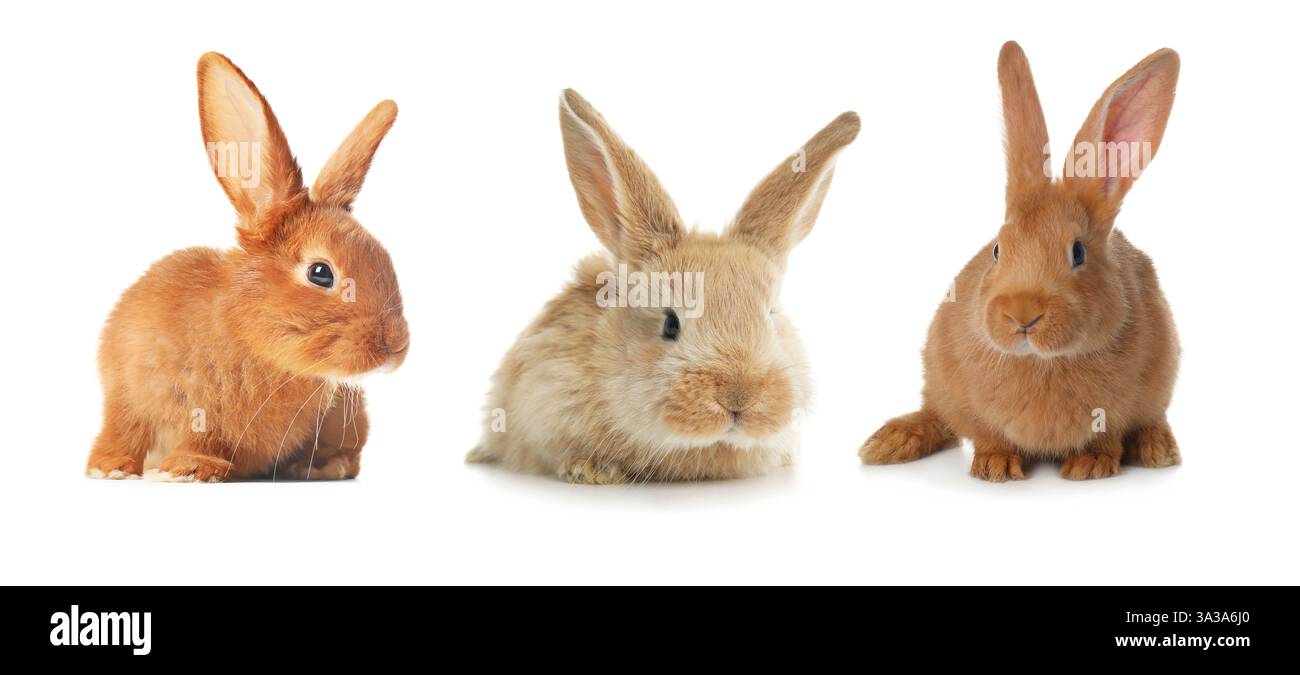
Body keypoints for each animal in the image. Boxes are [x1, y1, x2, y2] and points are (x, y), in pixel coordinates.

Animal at [85, 53, 408, 482]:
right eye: (320, 273)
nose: (396, 346)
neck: (244, 334)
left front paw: (188, 467)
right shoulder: (129, 390)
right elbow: (127, 428)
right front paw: (112, 468)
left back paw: (322, 467)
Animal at [860, 41, 1181, 481]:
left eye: (1078, 251)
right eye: (998, 249)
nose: (1022, 313)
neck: (1042, 361)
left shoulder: (1123, 407)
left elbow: (1107, 436)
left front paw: (1089, 466)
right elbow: (987, 434)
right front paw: (995, 467)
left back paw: (1157, 449)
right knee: (937, 415)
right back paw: (890, 442)